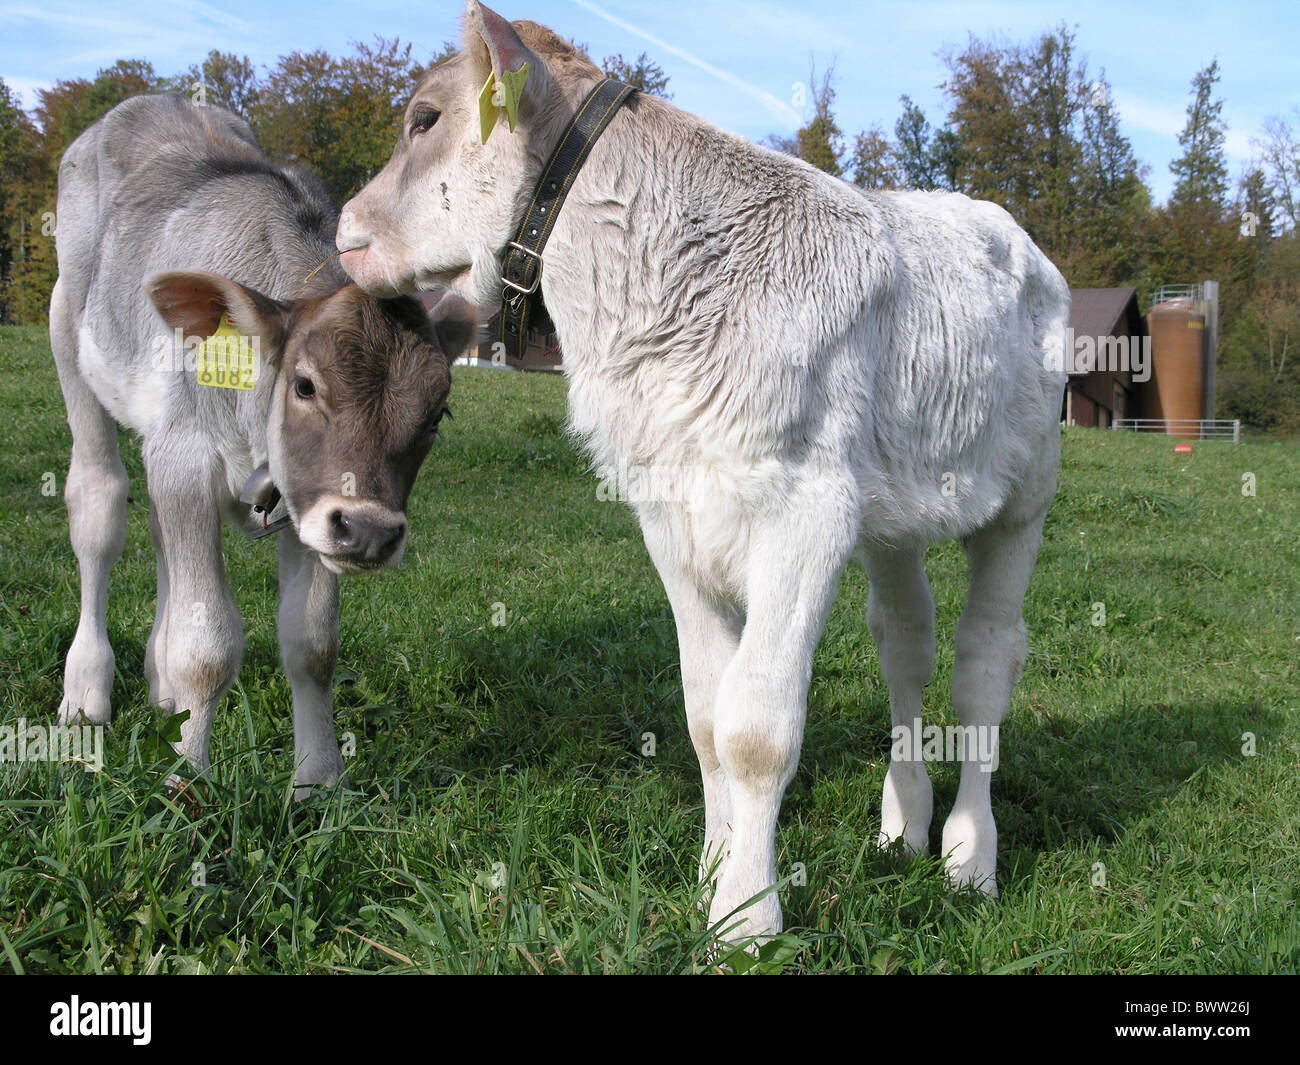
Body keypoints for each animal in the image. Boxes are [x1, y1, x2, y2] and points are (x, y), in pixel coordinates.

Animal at [51, 94, 475, 791]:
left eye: (437, 412)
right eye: (304, 384)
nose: (370, 532)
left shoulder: (306, 500)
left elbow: (313, 643)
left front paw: (320, 781)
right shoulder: (187, 456)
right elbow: (207, 643)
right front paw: (188, 781)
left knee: (162, 539)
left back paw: (160, 690)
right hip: (68, 330)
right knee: (99, 508)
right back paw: (87, 691)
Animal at [336, 2, 1069, 940]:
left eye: (424, 118)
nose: (344, 227)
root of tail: (1011, 231)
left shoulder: (806, 513)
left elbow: (754, 730)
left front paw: (748, 916)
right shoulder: (673, 521)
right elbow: (704, 715)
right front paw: (712, 876)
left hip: (1024, 500)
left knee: (983, 663)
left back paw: (970, 857)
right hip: (893, 520)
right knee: (908, 641)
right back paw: (903, 823)